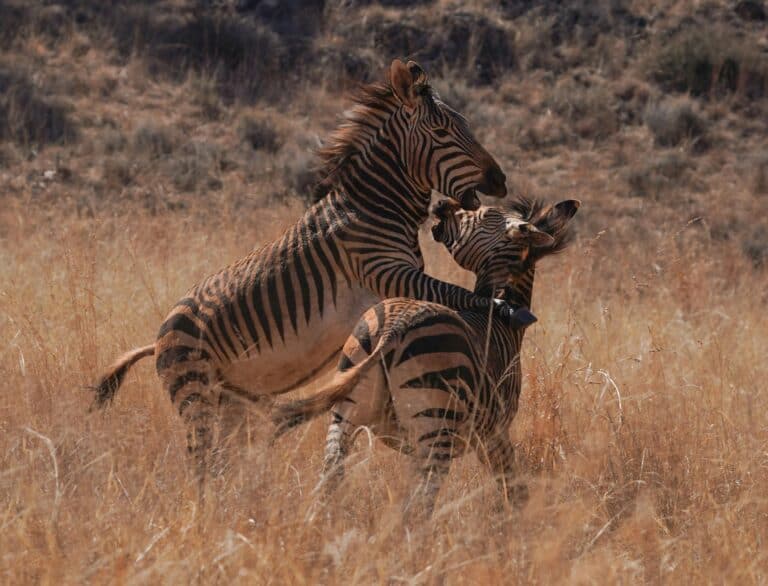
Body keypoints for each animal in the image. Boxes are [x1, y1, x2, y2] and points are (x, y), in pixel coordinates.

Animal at [89, 59, 523, 492]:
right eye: (442, 132)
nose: (501, 180)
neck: (375, 208)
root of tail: (158, 337)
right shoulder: (386, 270)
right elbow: (456, 292)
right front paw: (504, 308)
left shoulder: (399, 278)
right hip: (197, 392)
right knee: (200, 460)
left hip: (231, 402)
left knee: (219, 461)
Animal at [271, 196, 580, 519]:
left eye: (483, 214)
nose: (442, 203)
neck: (499, 318)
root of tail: (395, 327)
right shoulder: (494, 433)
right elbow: (513, 488)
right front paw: (518, 523)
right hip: (436, 426)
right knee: (419, 506)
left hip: (348, 408)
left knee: (332, 476)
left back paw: (320, 522)